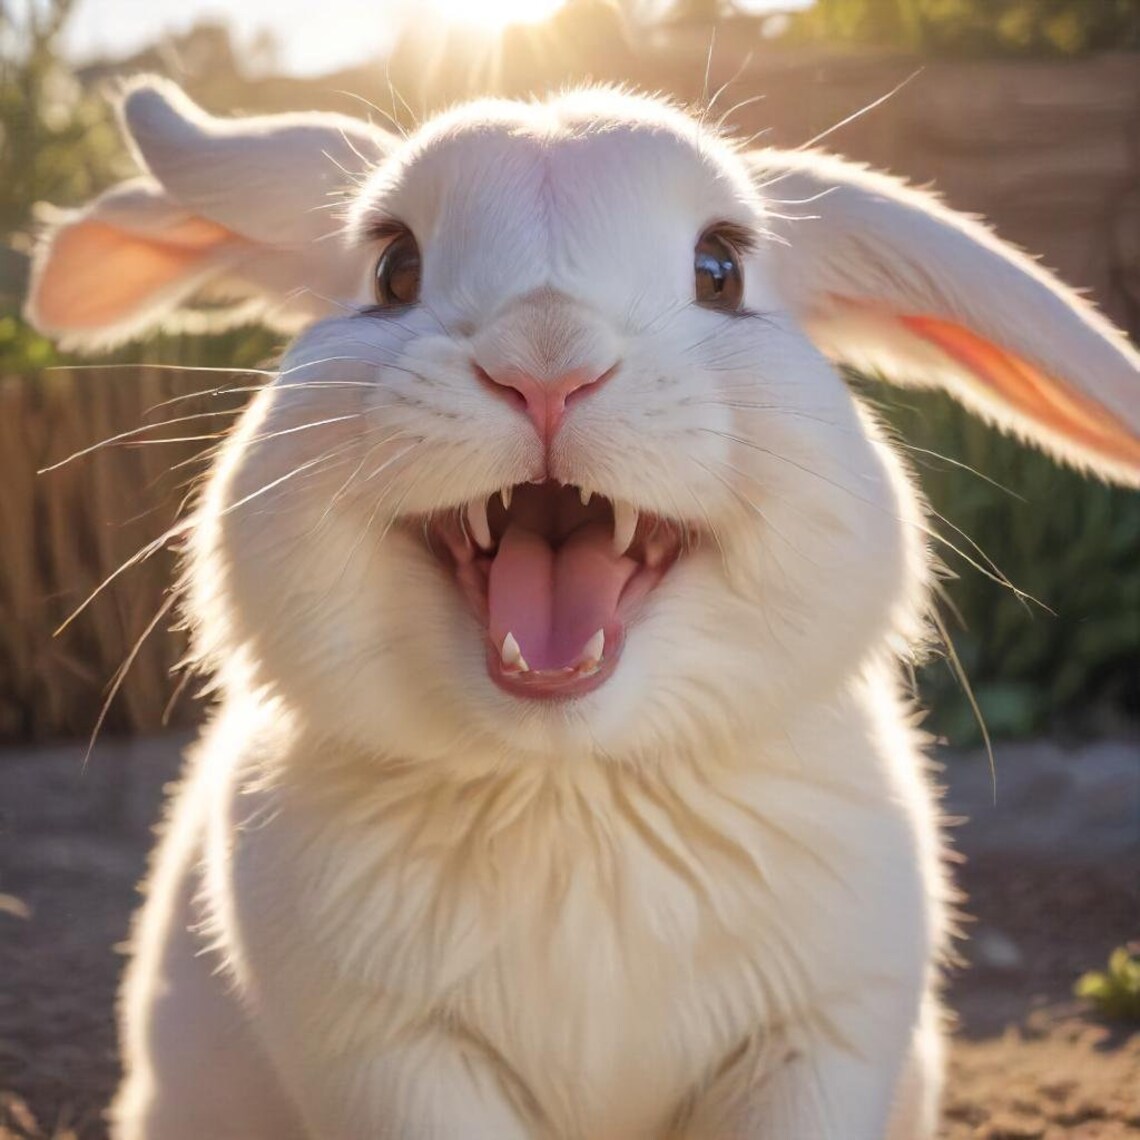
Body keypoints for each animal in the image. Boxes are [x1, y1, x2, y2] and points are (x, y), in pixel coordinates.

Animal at [25, 76, 1140, 1140]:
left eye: (721, 269)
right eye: (394, 270)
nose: (545, 365)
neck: (572, 790)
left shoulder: (812, 1044)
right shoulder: (394, 1062)